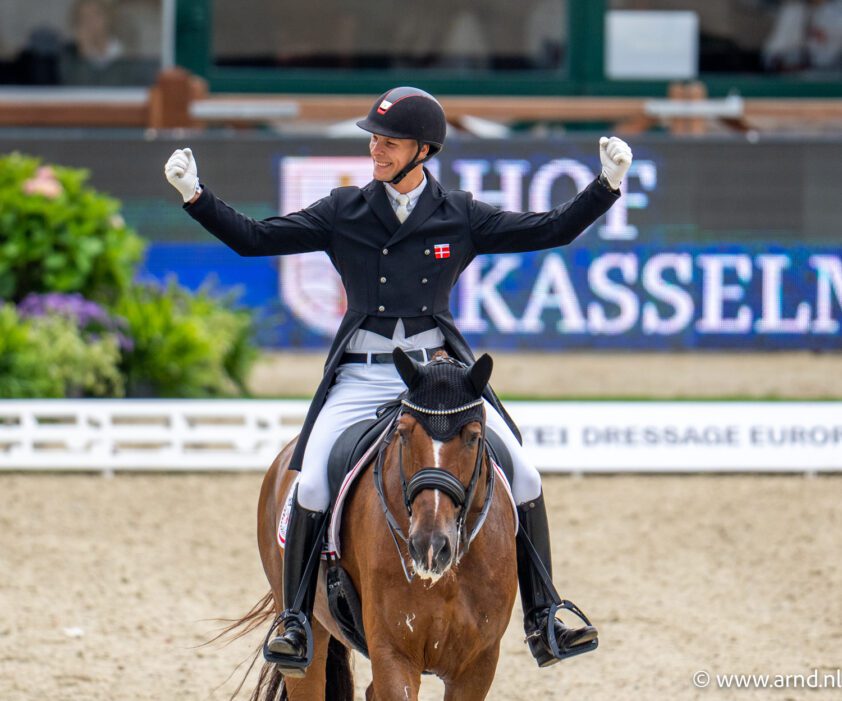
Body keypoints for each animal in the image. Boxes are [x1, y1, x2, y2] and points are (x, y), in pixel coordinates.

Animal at [227, 349, 519, 700]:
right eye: (403, 432)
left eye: (473, 437)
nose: (430, 546)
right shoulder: (392, 654)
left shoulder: (478, 664)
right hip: (308, 635)